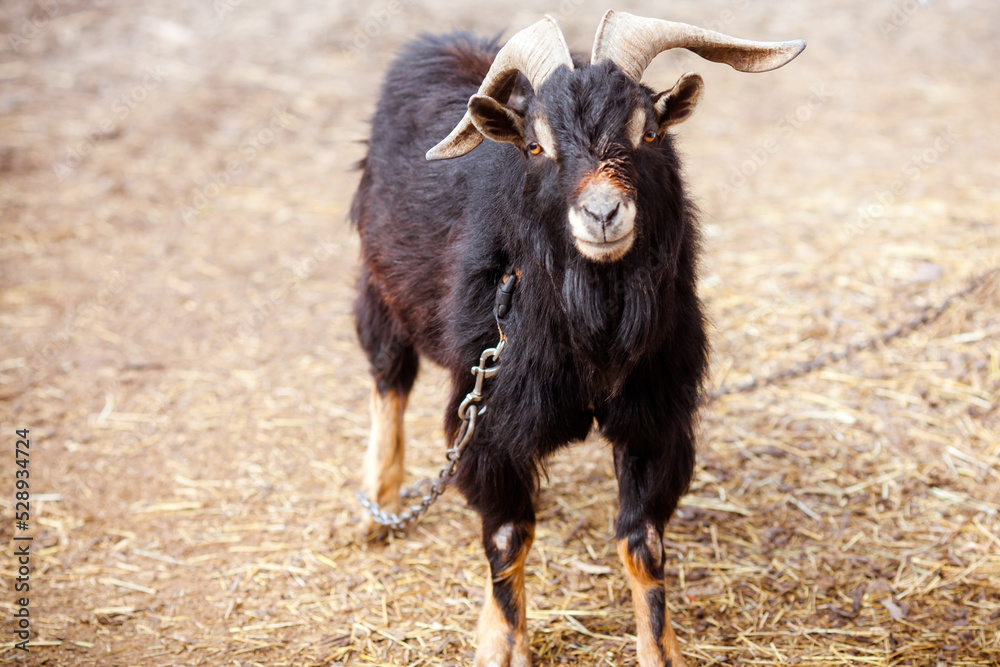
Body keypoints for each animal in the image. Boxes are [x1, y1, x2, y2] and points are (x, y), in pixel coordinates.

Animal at [351, 11, 804, 667]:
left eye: (648, 133)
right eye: (537, 146)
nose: (602, 214)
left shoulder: (655, 417)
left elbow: (642, 543)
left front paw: (660, 652)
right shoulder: (488, 414)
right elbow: (507, 536)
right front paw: (501, 645)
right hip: (377, 279)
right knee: (388, 375)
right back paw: (378, 506)